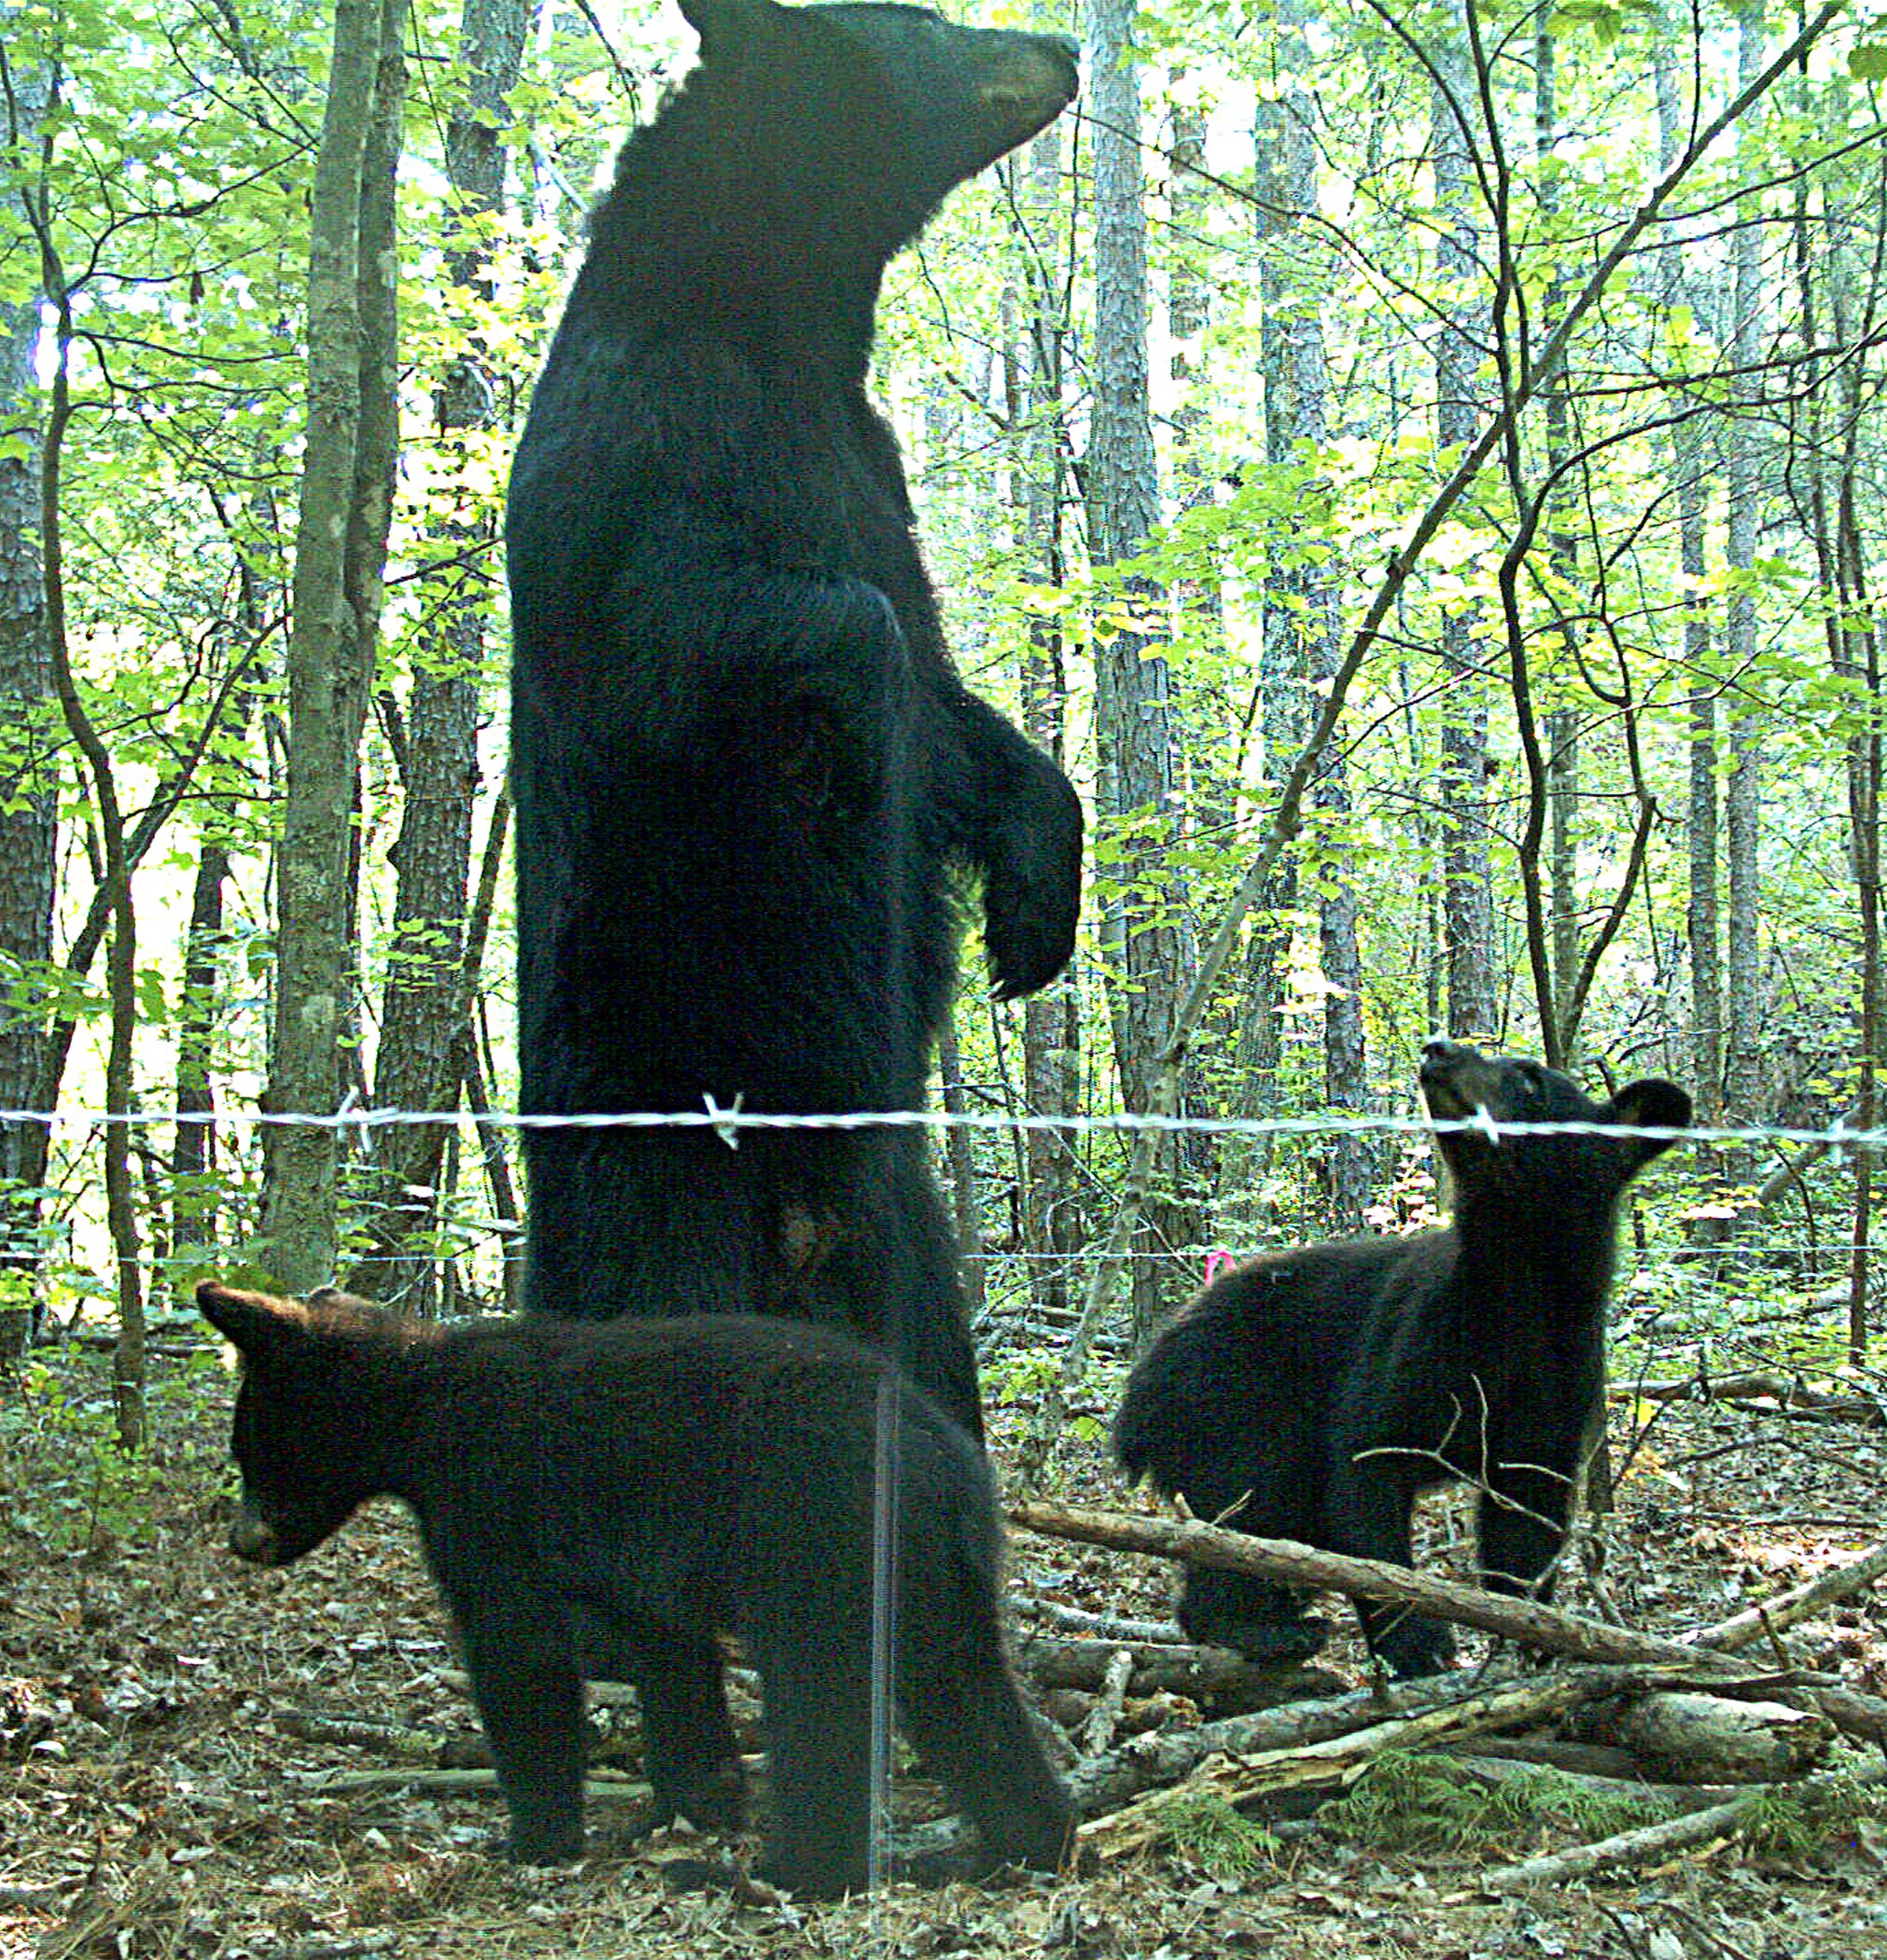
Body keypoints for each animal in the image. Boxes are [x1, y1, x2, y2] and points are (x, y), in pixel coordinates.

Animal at [196, 1279, 1075, 1899]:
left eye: (249, 1446)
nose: (243, 1542)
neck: (421, 1405)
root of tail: (946, 1460)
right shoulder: (643, 1575)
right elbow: (670, 1662)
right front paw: (701, 1799)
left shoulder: (492, 1509)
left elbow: (520, 1658)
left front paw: (537, 1840)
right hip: (934, 1578)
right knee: (967, 1692)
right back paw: (1033, 1840)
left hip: (817, 1546)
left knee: (824, 1708)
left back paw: (792, 1872)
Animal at [503, 0, 1084, 1446]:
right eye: (926, 23)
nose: (1063, 47)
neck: (779, 317)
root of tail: (795, 1239)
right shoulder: (633, 456)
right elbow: (735, 625)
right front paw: (846, 764)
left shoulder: (870, 467)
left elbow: (948, 703)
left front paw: (1035, 904)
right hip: (653, 1192)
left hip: (916, 1257)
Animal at [1113, 1039, 1692, 1679]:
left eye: (1529, 1079)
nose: (1439, 1050)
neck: (1514, 1286)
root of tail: (1145, 1373)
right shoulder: (1412, 1343)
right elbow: (1368, 1476)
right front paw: (1423, 1646)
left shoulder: (1558, 1379)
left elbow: (1527, 1516)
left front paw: (1527, 1635)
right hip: (1227, 1399)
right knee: (1249, 1500)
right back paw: (1263, 1629)